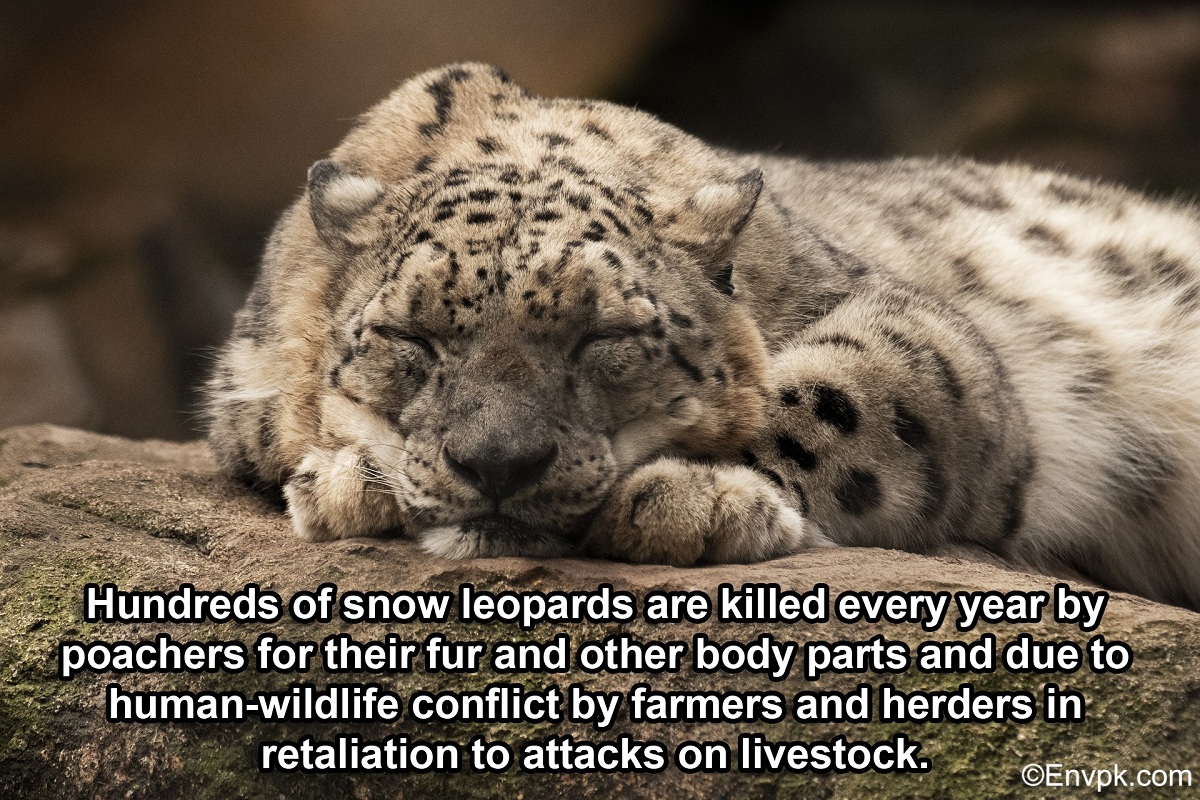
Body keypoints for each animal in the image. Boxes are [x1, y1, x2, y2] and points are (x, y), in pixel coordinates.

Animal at [205, 63, 1200, 610]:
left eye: (602, 334)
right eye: (410, 338)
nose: (498, 463)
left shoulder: (922, 334)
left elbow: (830, 400)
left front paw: (692, 497)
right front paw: (347, 481)